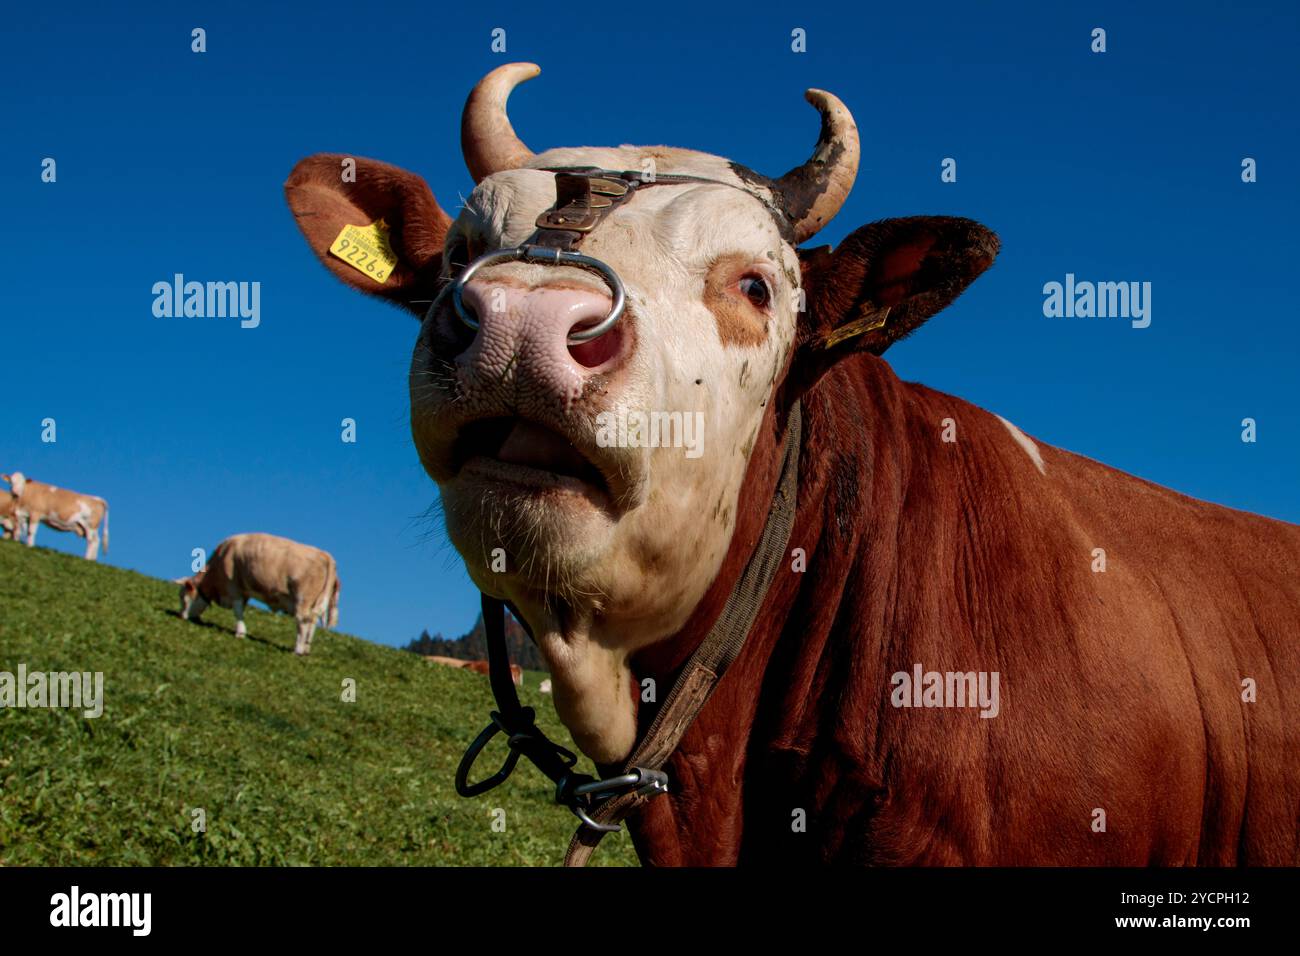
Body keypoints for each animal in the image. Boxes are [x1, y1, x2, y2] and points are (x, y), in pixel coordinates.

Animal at [178, 532, 339, 656]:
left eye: (183, 597)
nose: (181, 616)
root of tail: (325, 555)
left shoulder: (234, 588)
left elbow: (238, 611)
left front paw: (240, 633)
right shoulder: (243, 591)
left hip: (302, 600)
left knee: (303, 622)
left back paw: (298, 650)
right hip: (315, 602)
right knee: (312, 622)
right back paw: (306, 649)